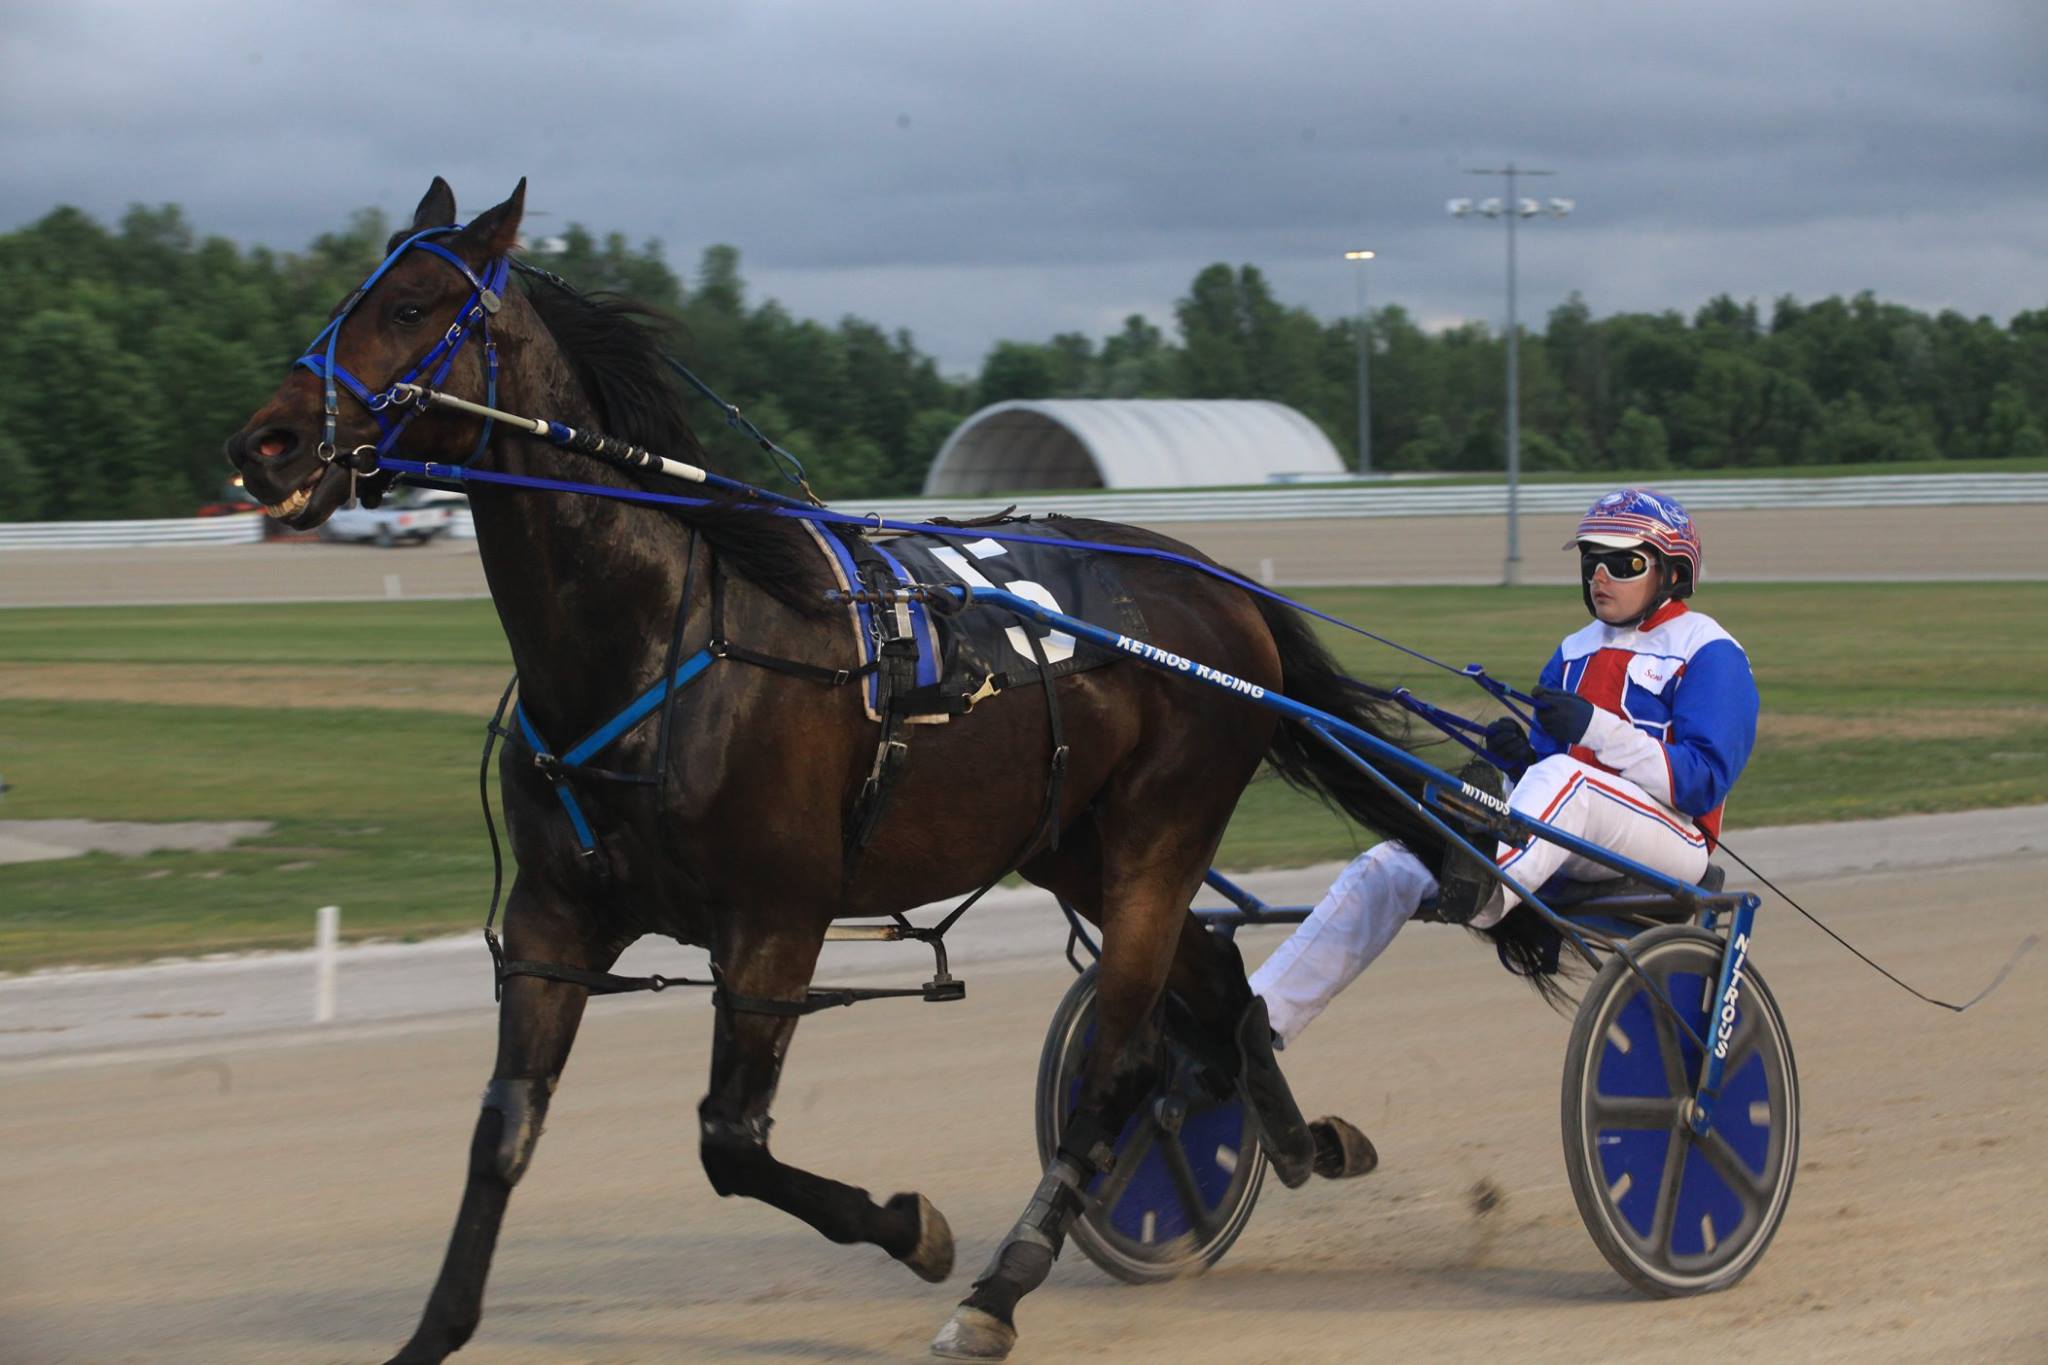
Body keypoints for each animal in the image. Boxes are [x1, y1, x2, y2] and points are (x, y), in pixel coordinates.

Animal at [224, 178, 1454, 1363]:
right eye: (348, 295)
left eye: (410, 307)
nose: (265, 442)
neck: (660, 632)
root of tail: (1220, 584)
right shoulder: (551, 921)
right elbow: (504, 1129)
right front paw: (432, 1332)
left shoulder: (774, 920)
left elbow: (730, 1143)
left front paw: (917, 1230)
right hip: (1074, 844)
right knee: (1215, 986)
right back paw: (1301, 1140)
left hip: (1163, 827)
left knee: (1120, 1060)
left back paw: (998, 1290)